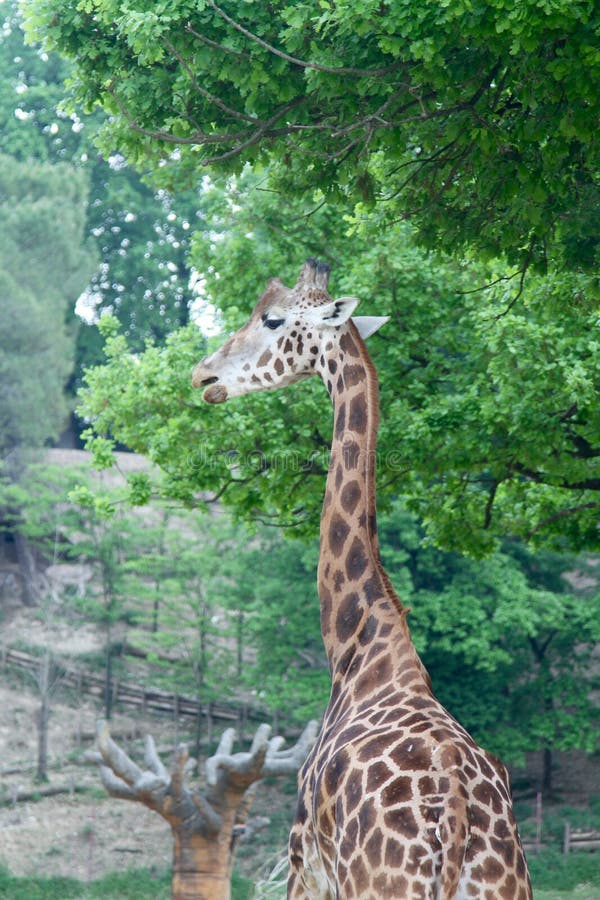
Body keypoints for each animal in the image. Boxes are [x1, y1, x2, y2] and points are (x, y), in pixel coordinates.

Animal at [192, 259, 532, 899]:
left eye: (272, 319)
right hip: (508, 885)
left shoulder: (304, 864)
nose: (205, 374)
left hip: (374, 884)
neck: (356, 647)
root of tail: (455, 817)